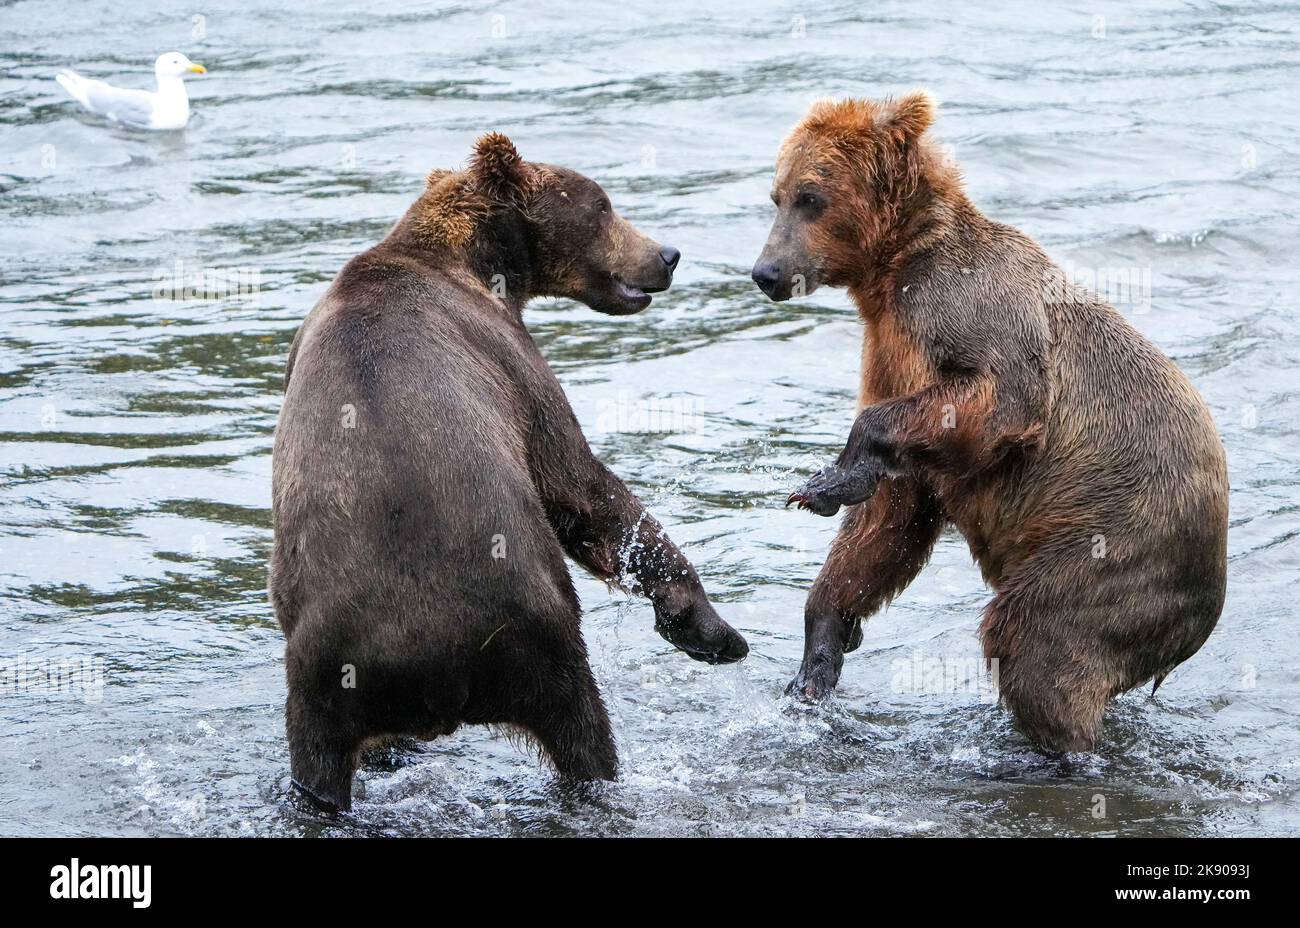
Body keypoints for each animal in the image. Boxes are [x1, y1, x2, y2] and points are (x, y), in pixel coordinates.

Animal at [270, 132, 748, 811]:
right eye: (603, 205)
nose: (667, 254)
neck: (478, 265)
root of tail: (434, 658)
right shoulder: (513, 364)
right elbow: (581, 487)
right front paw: (706, 626)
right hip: (540, 637)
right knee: (584, 730)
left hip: (322, 687)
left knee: (319, 763)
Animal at [751, 93, 1228, 754]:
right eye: (777, 194)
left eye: (810, 197)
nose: (766, 271)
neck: (892, 273)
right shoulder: (889, 350)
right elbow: (892, 517)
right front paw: (820, 647)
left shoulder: (964, 310)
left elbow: (998, 399)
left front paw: (824, 481)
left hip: (1113, 540)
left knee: (1038, 642)